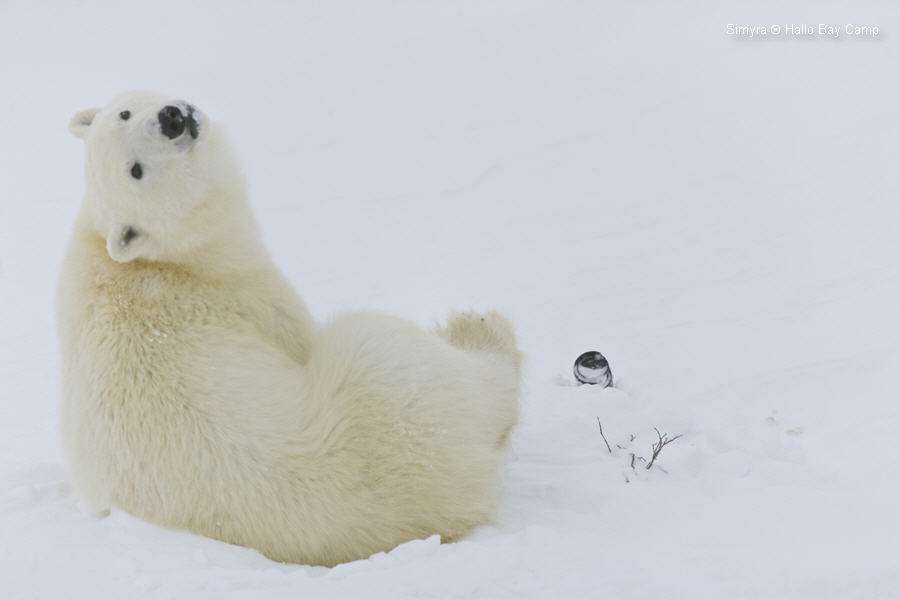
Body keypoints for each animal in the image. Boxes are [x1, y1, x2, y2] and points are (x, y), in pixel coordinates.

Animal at [58, 90, 522, 566]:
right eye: (136, 169)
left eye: (124, 112)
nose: (173, 119)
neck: (157, 262)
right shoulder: (252, 292)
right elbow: (298, 331)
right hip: (387, 384)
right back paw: (479, 330)